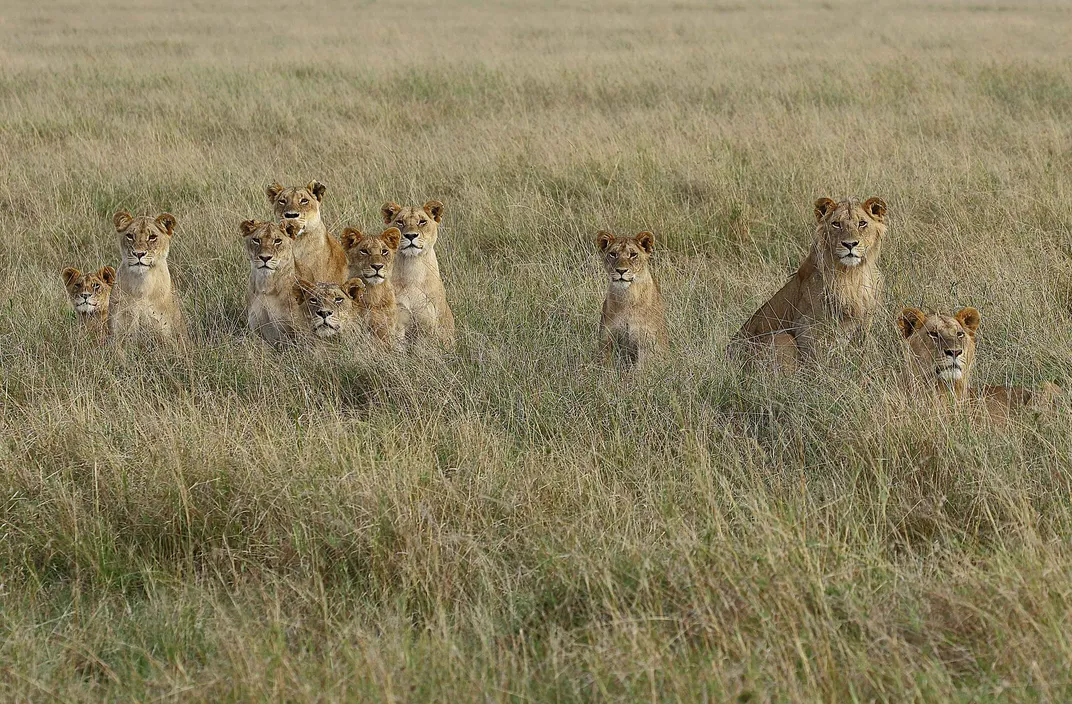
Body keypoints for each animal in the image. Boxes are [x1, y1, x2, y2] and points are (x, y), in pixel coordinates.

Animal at [109, 211, 186, 343]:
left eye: (152, 237)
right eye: (130, 236)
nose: (139, 254)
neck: (142, 284)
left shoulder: (164, 331)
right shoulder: (119, 330)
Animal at [381, 200, 456, 349]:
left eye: (422, 221)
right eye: (400, 222)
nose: (410, 236)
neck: (412, 268)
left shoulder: (427, 325)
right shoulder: (398, 324)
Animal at [596, 230, 669, 368]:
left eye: (633, 255)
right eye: (613, 254)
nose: (621, 271)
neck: (627, 297)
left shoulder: (646, 342)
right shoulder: (607, 337)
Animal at [730, 196, 888, 372]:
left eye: (862, 223)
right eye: (836, 224)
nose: (850, 244)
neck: (851, 275)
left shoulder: (865, 321)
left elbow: (862, 352)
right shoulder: (807, 326)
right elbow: (816, 360)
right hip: (783, 338)